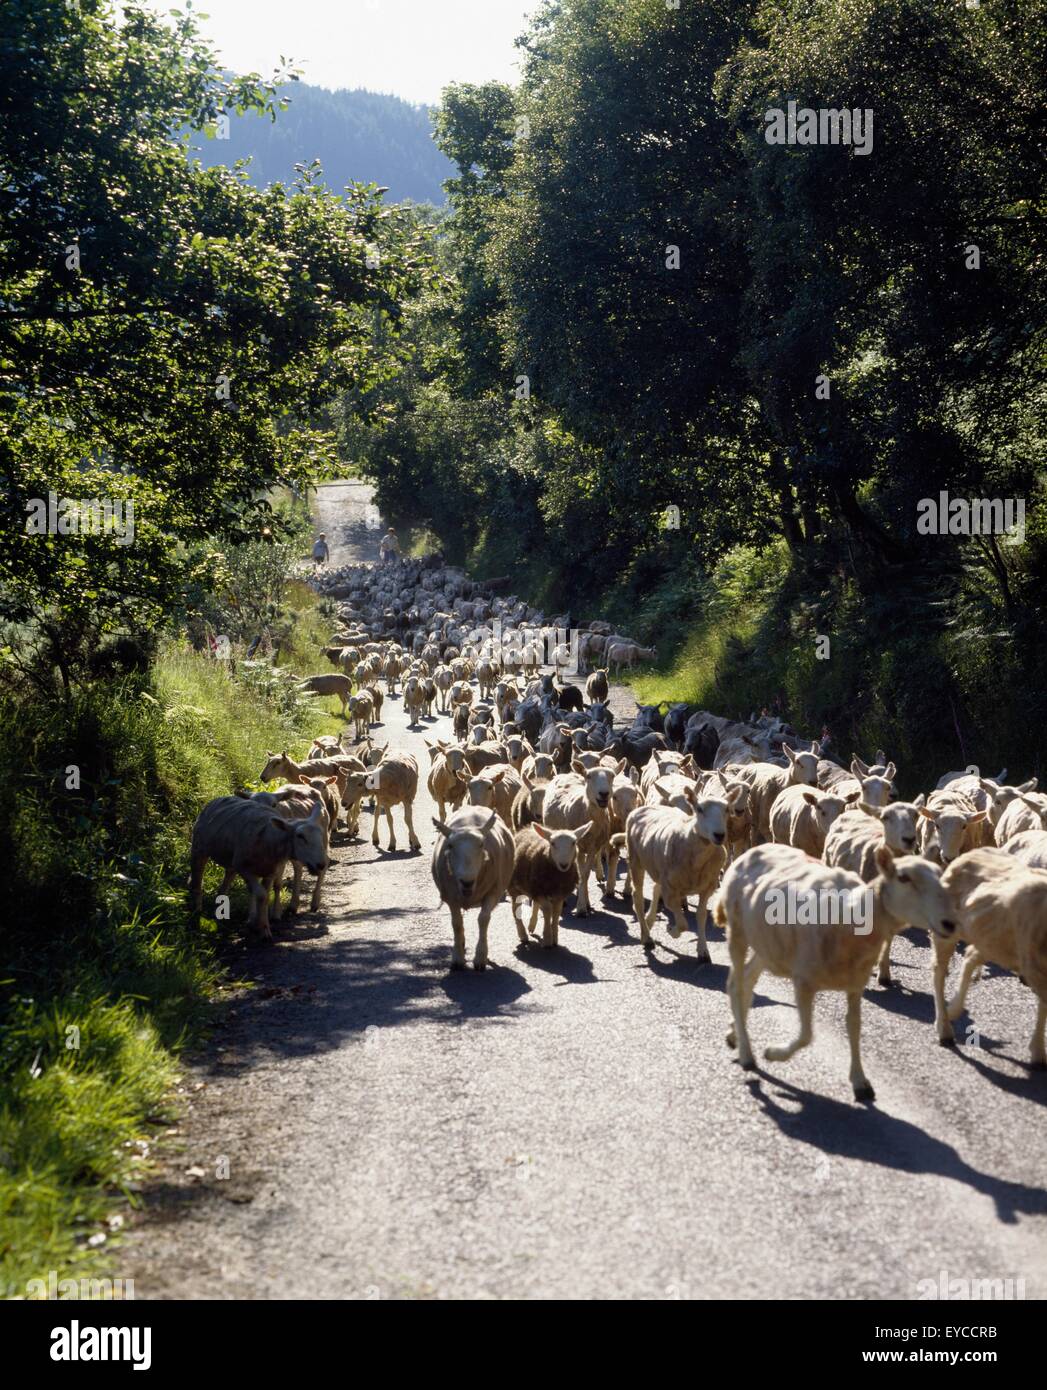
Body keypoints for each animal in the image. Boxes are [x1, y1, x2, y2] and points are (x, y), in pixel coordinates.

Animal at [189, 793, 329, 941]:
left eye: (319, 835)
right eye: (300, 836)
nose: (320, 864)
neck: (270, 838)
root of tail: (219, 798)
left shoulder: (270, 871)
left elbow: (266, 895)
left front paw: (261, 925)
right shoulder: (244, 869)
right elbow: (262, 895)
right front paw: (262, 928)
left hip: (230, 861)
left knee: (224, 885)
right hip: (199, 848)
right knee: (197, 880)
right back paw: (196, 912)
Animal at [431, 807, 516, 970]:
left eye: (482, 844)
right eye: (450, 845)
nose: (467, 882)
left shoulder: (493, 892)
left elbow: (483, 919)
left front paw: (481, 957)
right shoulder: (451, 896)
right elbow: (456, 923)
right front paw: (457, 957)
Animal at [716, 844, 955, 1100]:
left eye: (940, 875)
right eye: (903, 878)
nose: (949, 924)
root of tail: (754, 850)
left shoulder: (855, 984)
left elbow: (854, 1027)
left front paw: (860, 1081)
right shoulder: (804, 981)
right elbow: (806, 1035)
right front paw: (773, 1053)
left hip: (767, 945)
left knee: (748, 980)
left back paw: (734, 1035)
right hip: (737, 931)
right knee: (736, 986)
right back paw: (747, 1054)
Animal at [937, 848, 1047, 1067]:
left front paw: (1038, 1051)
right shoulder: (1034, 968)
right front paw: (1038, 1051)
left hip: (992, 941)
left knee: (971, 956)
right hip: (946, 931)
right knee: (938, 973)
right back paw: (945, 1027)